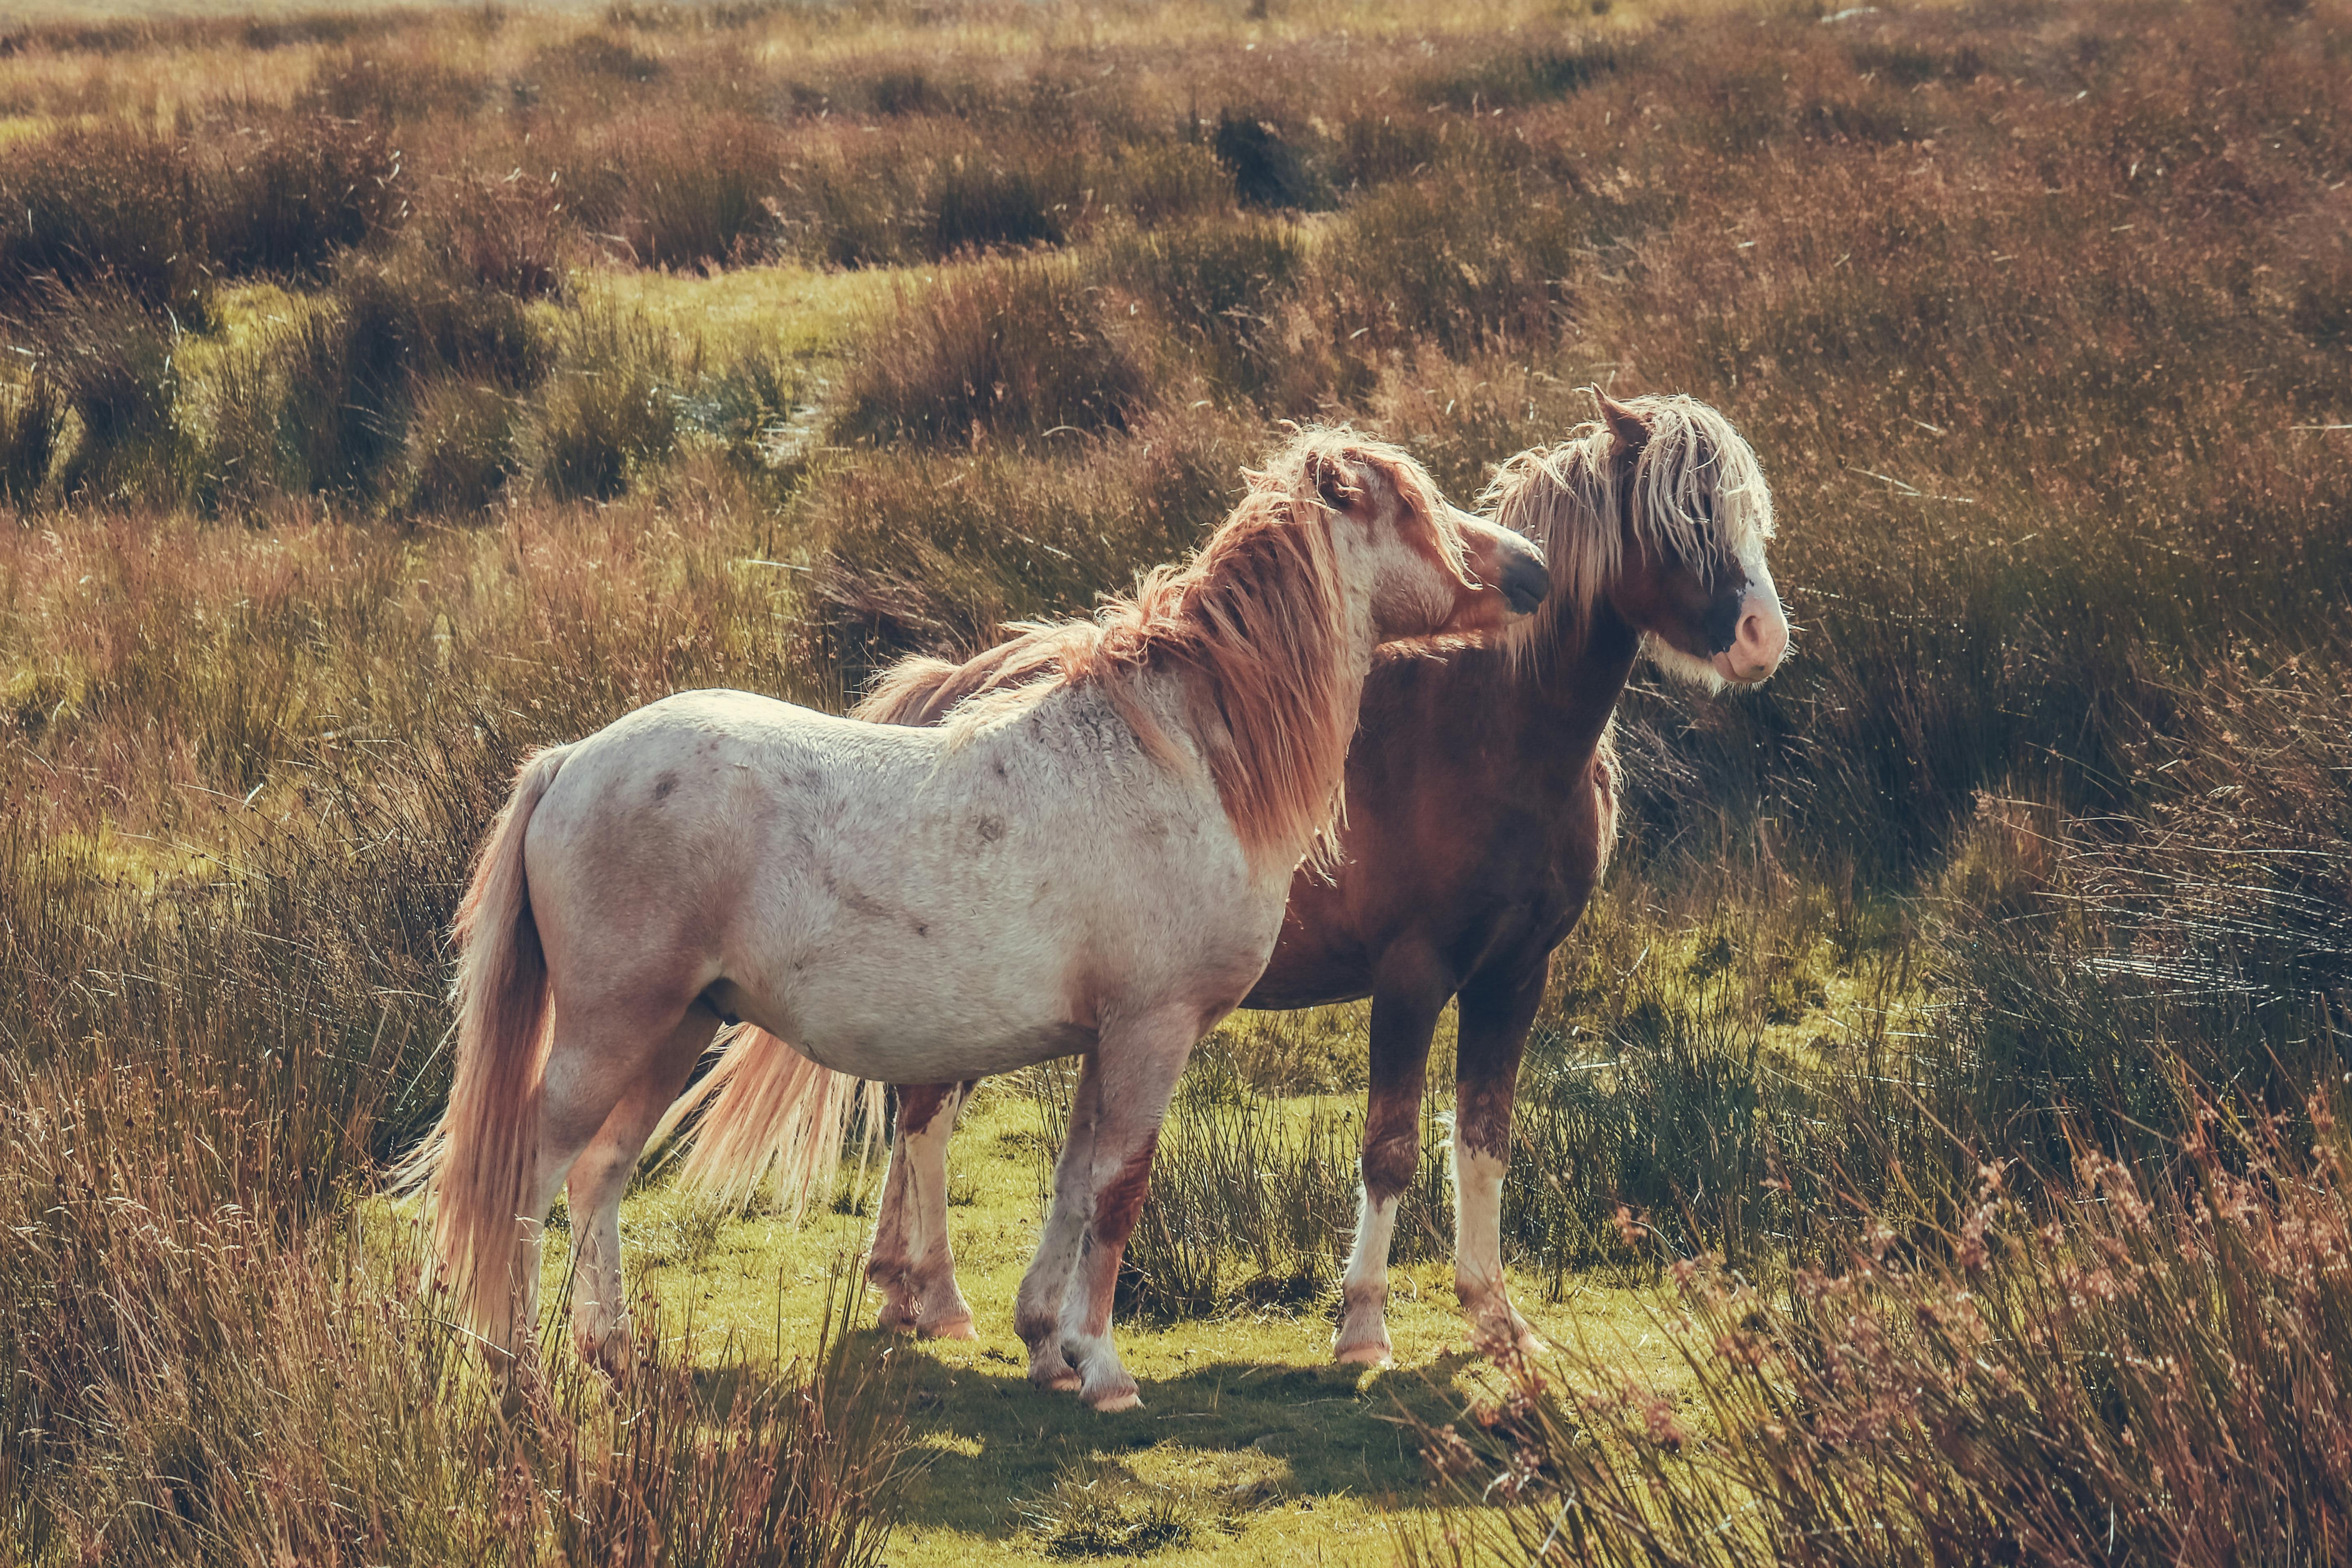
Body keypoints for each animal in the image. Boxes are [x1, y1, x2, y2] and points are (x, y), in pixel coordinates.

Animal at [399, 428, 1549, 1412]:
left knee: (599, 1178)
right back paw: (516, 1375)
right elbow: (1120, 1190)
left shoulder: (1104, 1041)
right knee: (528, 1180)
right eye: (1415, 510)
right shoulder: (1153, 1030)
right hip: (610, 1034)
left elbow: (1077, 1182)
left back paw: (613, 1356)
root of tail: (570, 761)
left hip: (675, 1030)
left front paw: (1050, 1344)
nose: (1533, 570)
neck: (1177, 759)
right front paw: (1105, 1369)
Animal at [665, 392, 1787, 1363]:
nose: (1763, 640)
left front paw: (1494, 1316)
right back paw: (937, 1297)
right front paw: (1362, 1328)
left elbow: (1483, 1139)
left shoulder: (1516, 976)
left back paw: (903, 1291)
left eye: (1748, 517)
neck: (1489, 732)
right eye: (1684, 520)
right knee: (926, 1117)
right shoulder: (1413, 975)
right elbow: (1389, 1148)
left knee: (916, 1110)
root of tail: (955, 684)